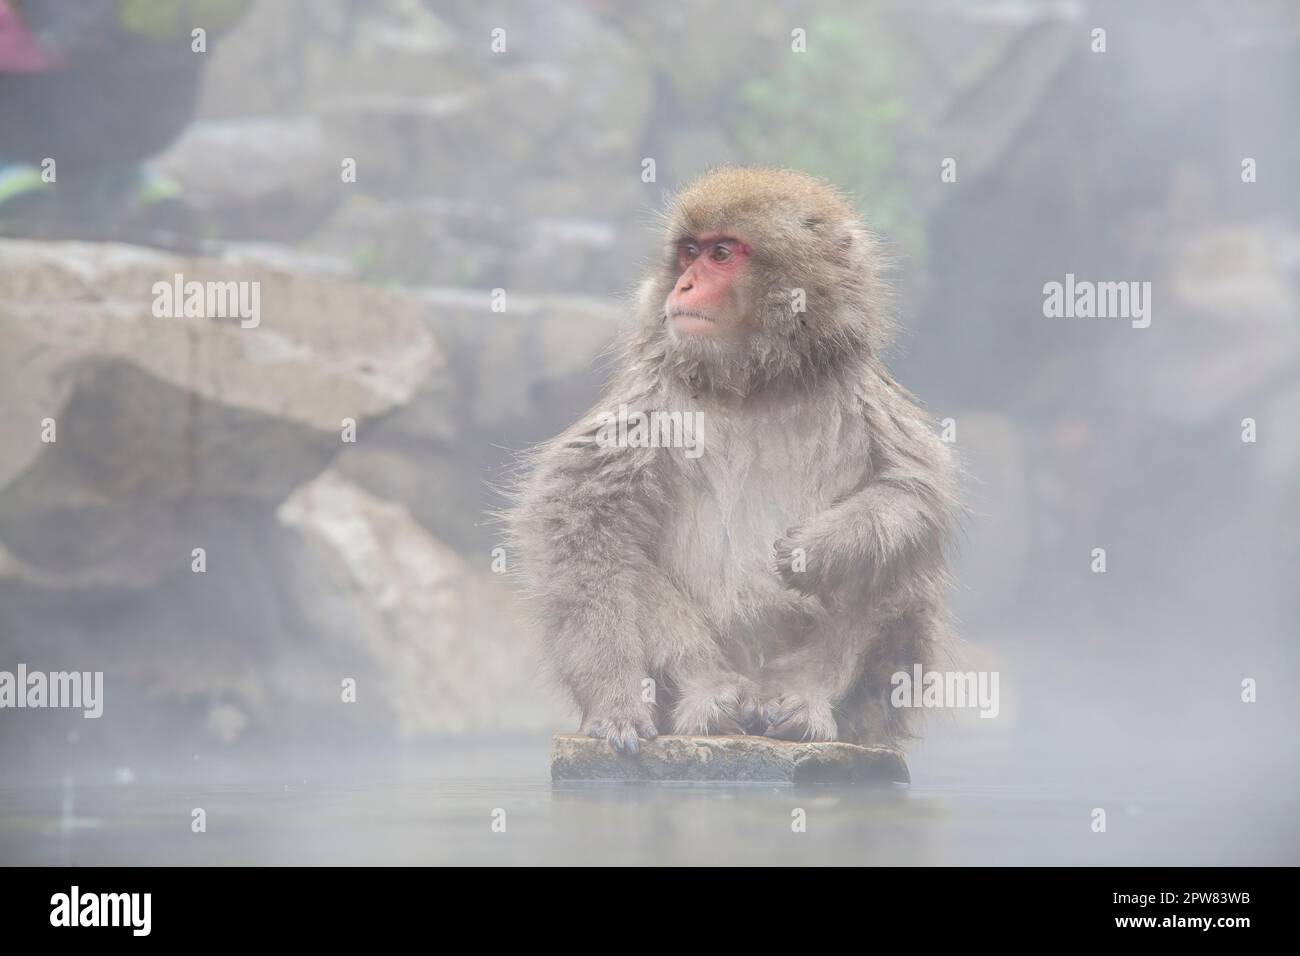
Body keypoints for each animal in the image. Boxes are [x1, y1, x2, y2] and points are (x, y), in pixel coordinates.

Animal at [507, 167, 959, 753]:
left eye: (722, 254)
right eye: (689, 253)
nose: (683, 286)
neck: (755, 381)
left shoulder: (860, 389)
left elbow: (912, 488)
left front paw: (815, 550)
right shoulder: (655, 392)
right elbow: (577, 512)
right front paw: (616, 702)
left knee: (901, 561)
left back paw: (804, 698)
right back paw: (710, 693)